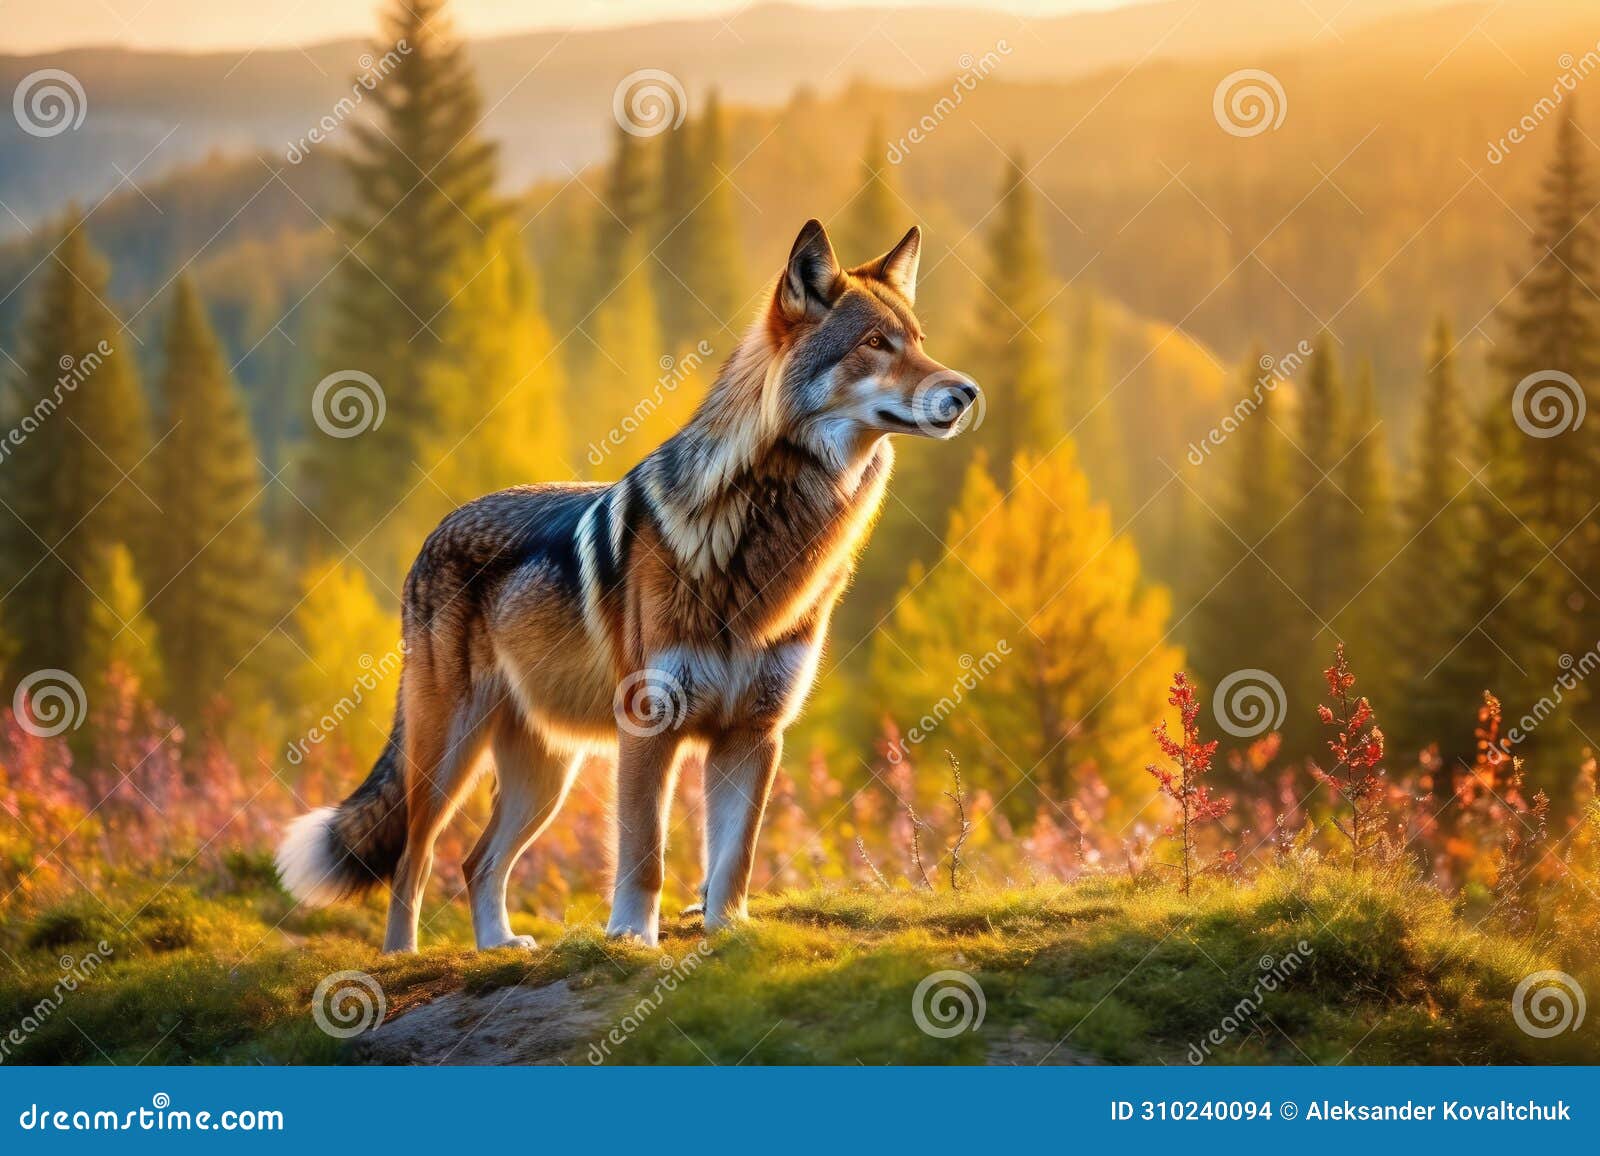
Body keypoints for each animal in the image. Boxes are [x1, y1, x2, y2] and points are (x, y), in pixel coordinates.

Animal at [276, 219, 979, 951]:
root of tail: (436, 529)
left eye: (918, 341)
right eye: (874, 344)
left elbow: (734, 860)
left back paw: (499, 944)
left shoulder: (753, 734)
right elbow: (646, 854)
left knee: (477, 861)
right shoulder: (650, 726)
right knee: (413, 864)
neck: (764, 529)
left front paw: (727, 931)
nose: (967, 393)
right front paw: (632, 938)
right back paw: (399, 957)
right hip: (447, 759)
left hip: (545, 777)